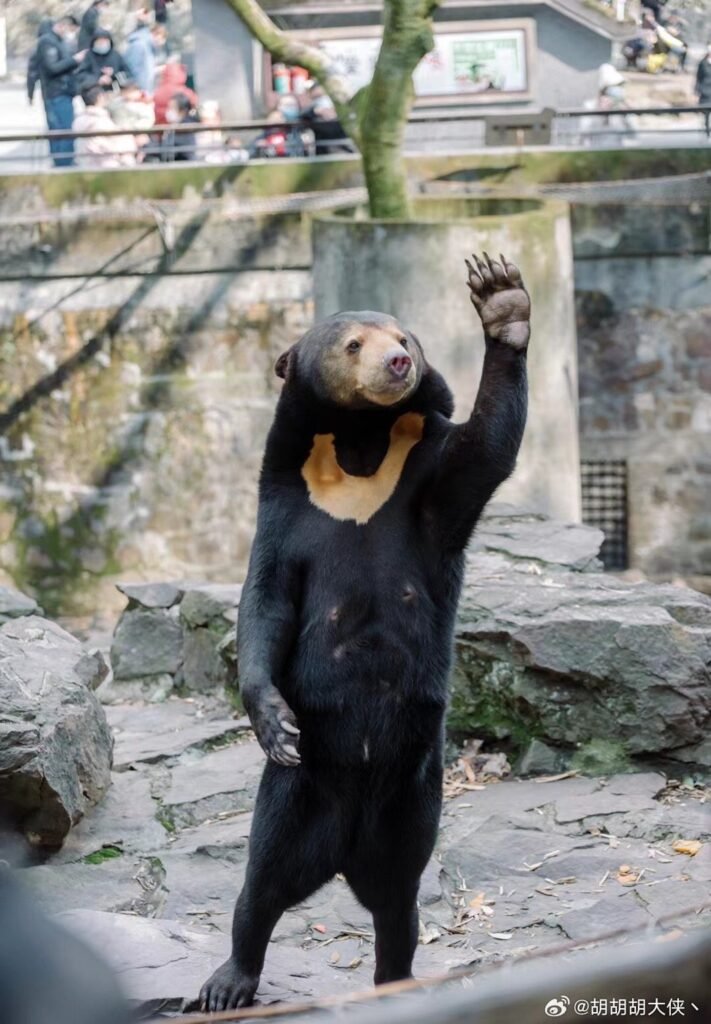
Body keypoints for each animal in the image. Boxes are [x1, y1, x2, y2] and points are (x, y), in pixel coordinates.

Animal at [198, 253, 531, 1011]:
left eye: (402, 333)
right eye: (353, 344)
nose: (400, 360)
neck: (359, 449)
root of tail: (344, 848)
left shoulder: (427, 484)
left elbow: (483, 453)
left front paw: (501, 298)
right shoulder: (287, 505)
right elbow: (264, 600)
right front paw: (273, 720)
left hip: (415, 794)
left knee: (398, 901)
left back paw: (395, 980)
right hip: (297, 795)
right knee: (262, 882)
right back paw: (229, 981)